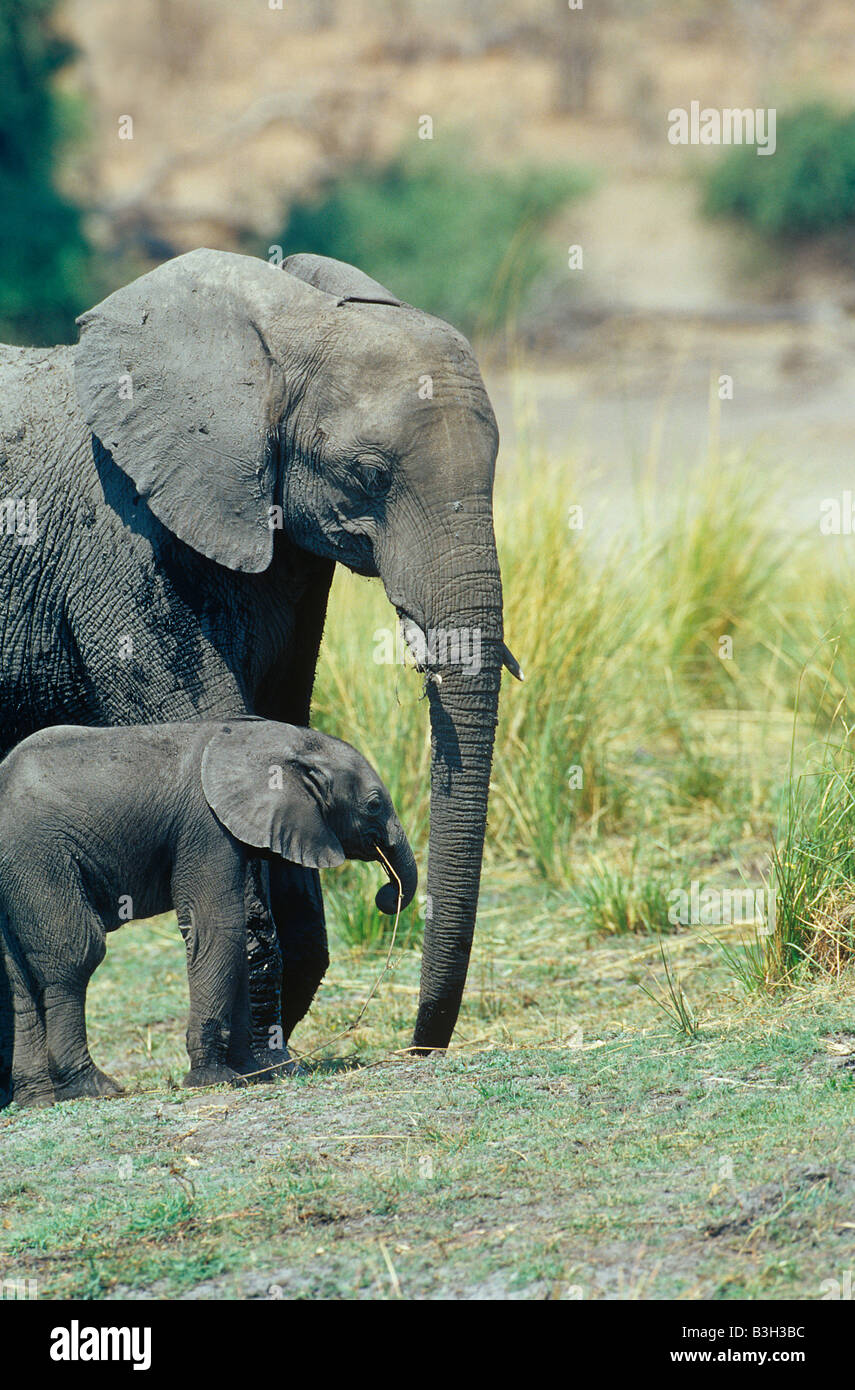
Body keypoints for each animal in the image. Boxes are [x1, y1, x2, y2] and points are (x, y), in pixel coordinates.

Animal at [0, 247, 520, 1065]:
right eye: (368, 475)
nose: (420, 1045)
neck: (277, 332)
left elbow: (277, 726)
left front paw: (266, 1048)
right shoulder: (120, 542)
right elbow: (213, 729)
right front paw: (256, 1063)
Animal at [0, 717, 417, 1108]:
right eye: (374, 805)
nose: (385, 894)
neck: (281, 739)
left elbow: (239, 936)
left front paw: (249, 1073)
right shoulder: (206, 827)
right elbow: (217, 928)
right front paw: (214, 1079)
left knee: (20, 979)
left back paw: (37, 1099)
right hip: (40, 858)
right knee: (75, 956)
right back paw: (94, 1088)